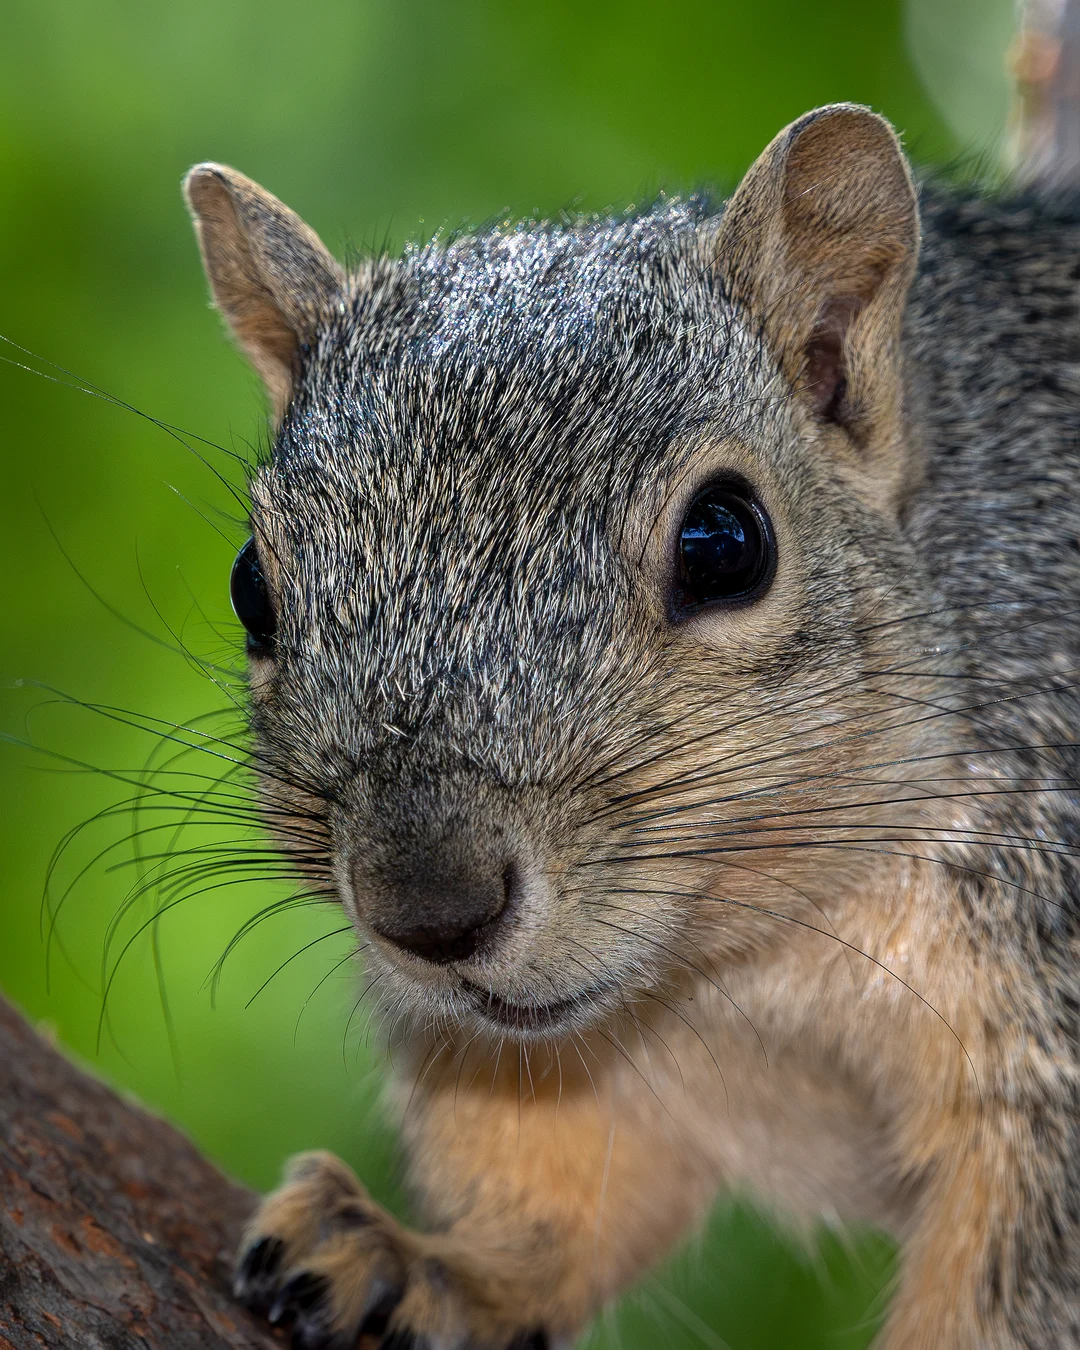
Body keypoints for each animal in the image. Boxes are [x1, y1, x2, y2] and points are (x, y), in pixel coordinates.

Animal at [182, 104, 1080, 1349]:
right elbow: (564, 1192)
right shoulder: (554, 1059)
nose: (429, 908)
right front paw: (427, 1264)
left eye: (726, 541)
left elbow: (1017, 1280)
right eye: (251, 589)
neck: (752, 949)